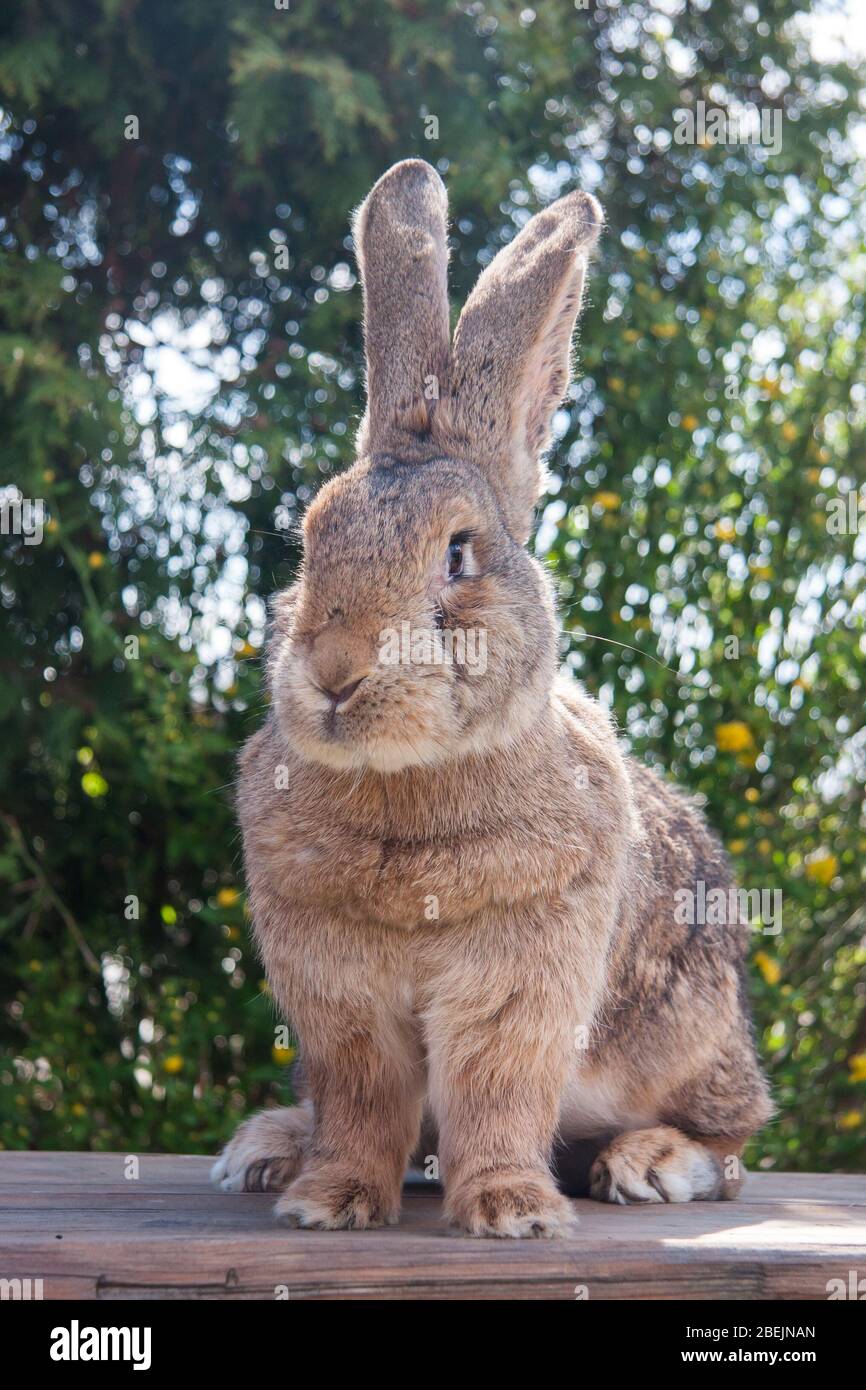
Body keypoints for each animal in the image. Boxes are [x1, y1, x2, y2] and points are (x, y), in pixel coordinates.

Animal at [211, 159, 772, 1237]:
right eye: (312, 536)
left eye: (459, 554)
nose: (335, 668)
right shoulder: (337, 1000)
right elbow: (360, 1100)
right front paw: (330, 1200)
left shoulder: (523, 980)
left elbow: (499, 1087)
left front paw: (512, 1211)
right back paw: (263, 1150)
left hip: (691, 1036)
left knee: (731, 1140)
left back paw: (648, 1164)